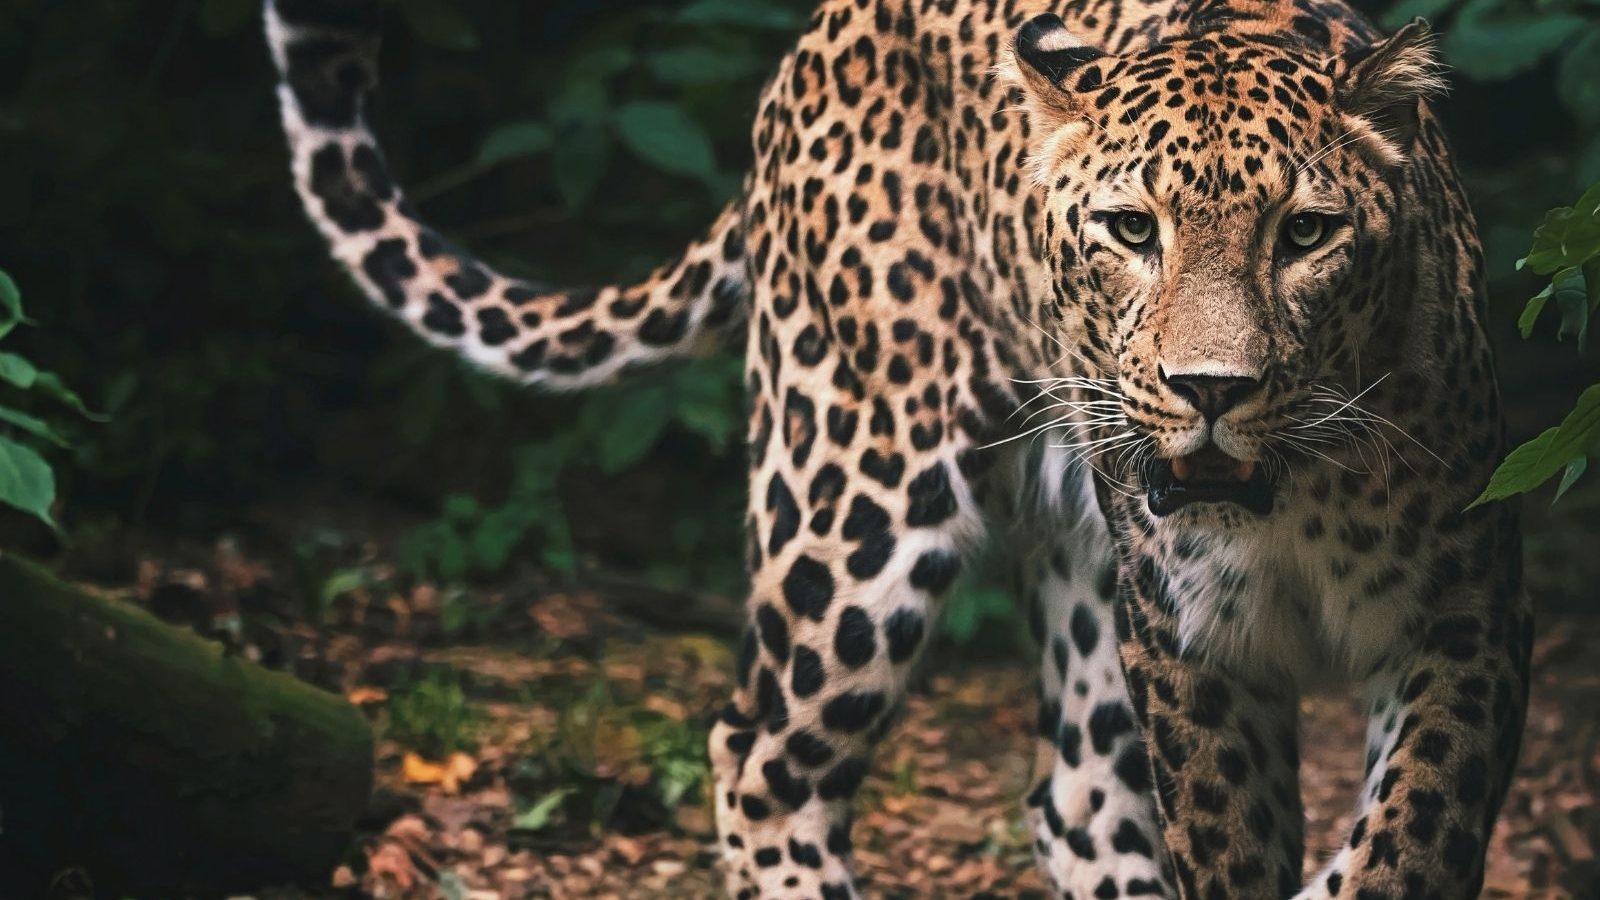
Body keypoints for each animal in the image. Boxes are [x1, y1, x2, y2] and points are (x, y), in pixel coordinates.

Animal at [264, 0, 1532, 897]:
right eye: (1131, 230)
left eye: (1306, 234)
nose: (1209, 392)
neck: (1290, 501)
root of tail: (813, 37)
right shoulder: (1190, 645)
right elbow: (1233, 845)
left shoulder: (1463, 618)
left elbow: (1408, 839)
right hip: (855, 486)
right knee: (757, 754)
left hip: (1077, 556)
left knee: (1074, 793)